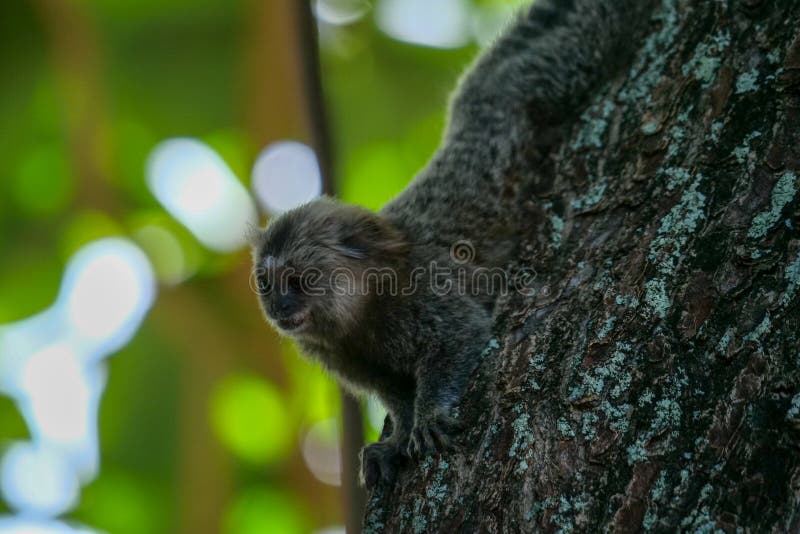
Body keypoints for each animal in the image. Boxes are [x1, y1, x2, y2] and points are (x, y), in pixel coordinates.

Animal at [252, 0, 656, 489]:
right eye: (267, 284)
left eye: (299, 279)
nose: (279, 307)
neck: (366, 308)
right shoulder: (337, 351)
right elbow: (392, 390)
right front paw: (396, 438)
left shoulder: (423, 290)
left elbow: (458, 336)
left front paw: (429, 415)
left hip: (535, 86)